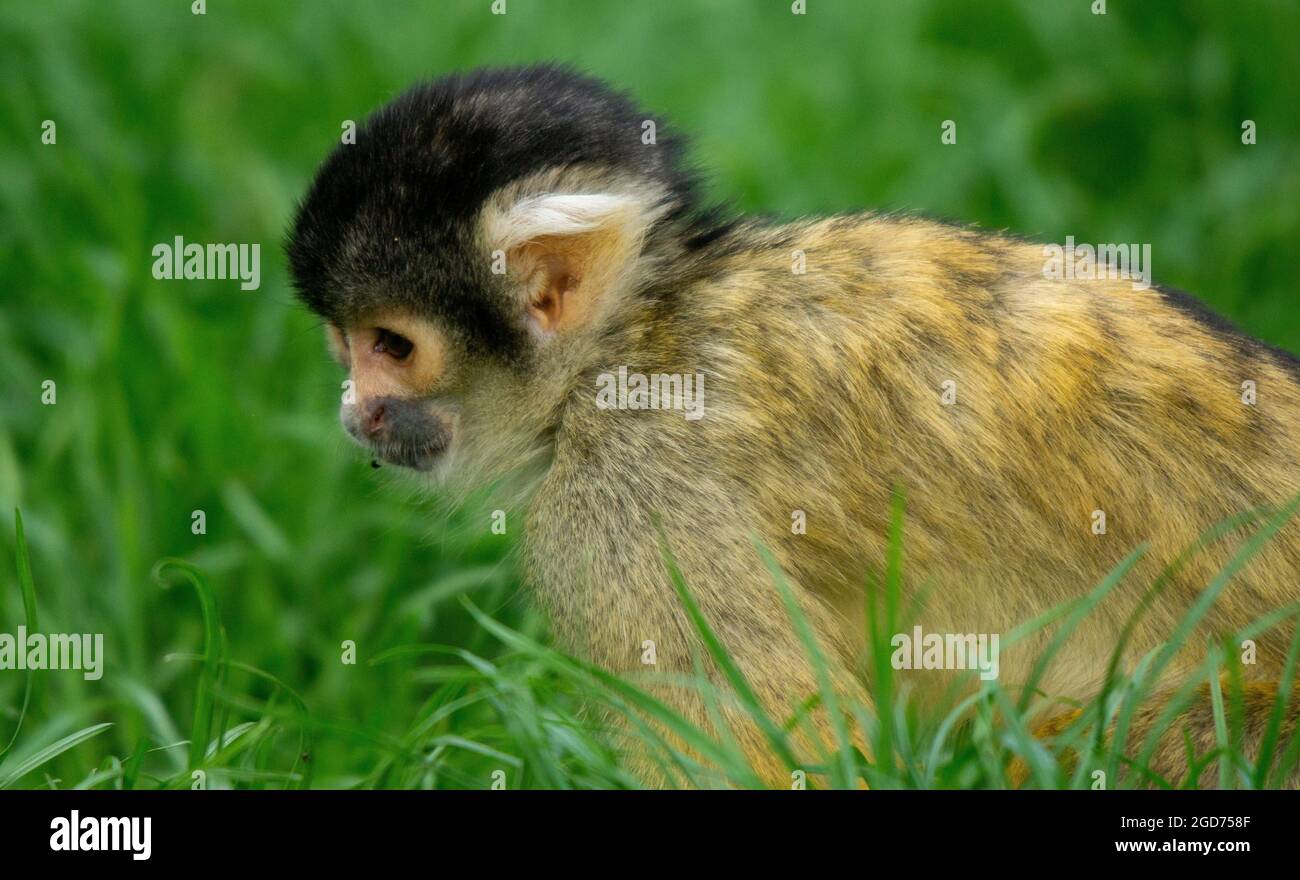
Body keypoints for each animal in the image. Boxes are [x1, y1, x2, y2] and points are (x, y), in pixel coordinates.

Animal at [286, 64, 1300, 788]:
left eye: (392, 346)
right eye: (345, 345)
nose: (353, 411)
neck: (636, 337)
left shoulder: (633, 493)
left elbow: (784, 763)